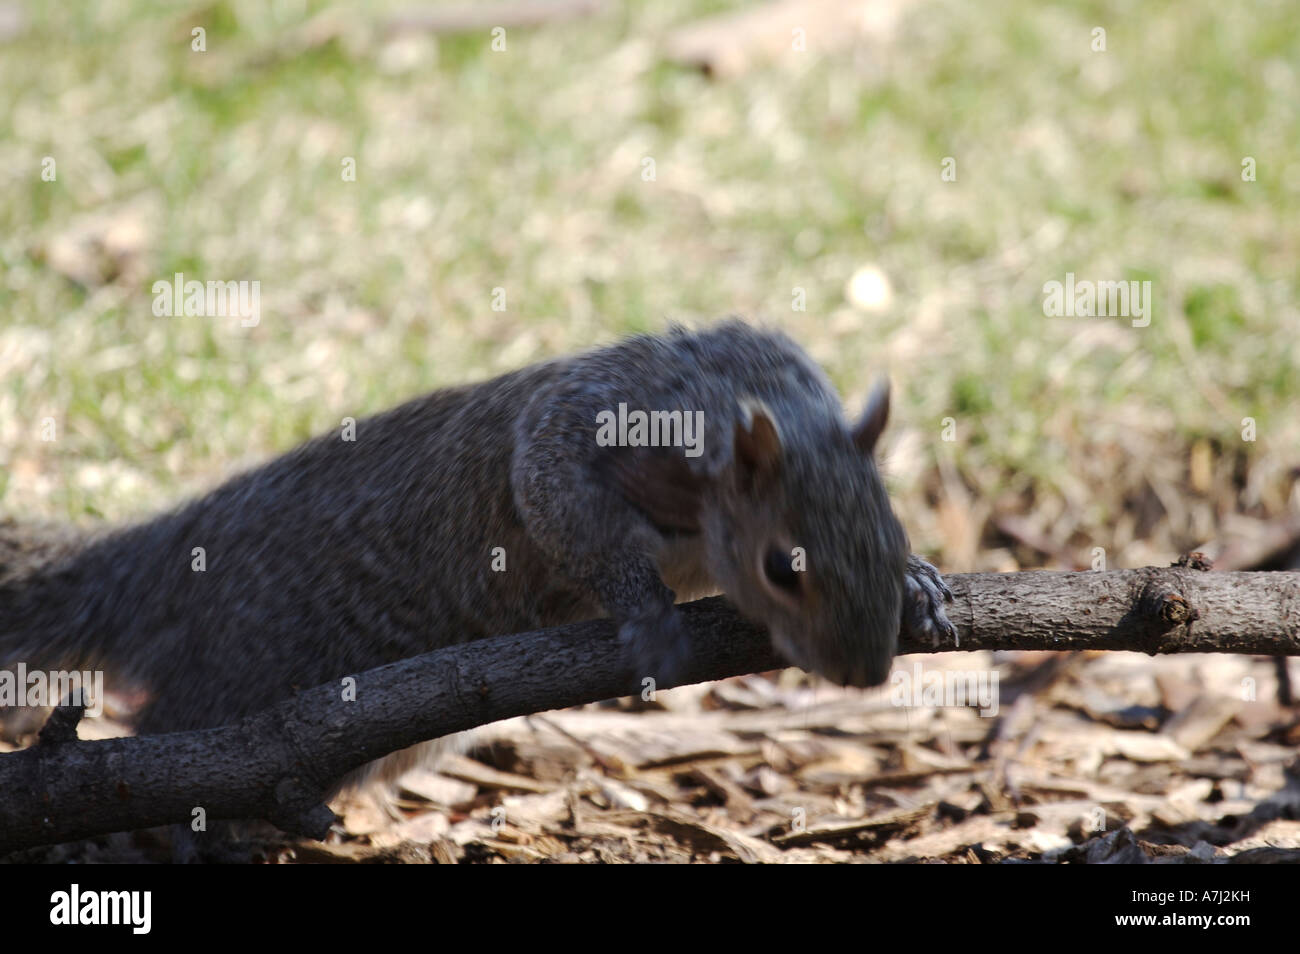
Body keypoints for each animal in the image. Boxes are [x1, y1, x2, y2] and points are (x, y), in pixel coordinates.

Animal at [1, 320, 955, 796]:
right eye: (781, 569)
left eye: (893, 526)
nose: (866, 674)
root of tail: (163, 562)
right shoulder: (593, 424)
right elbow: (552, 491)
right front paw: (646, 616)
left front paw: (922, 585)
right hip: (240, 673)